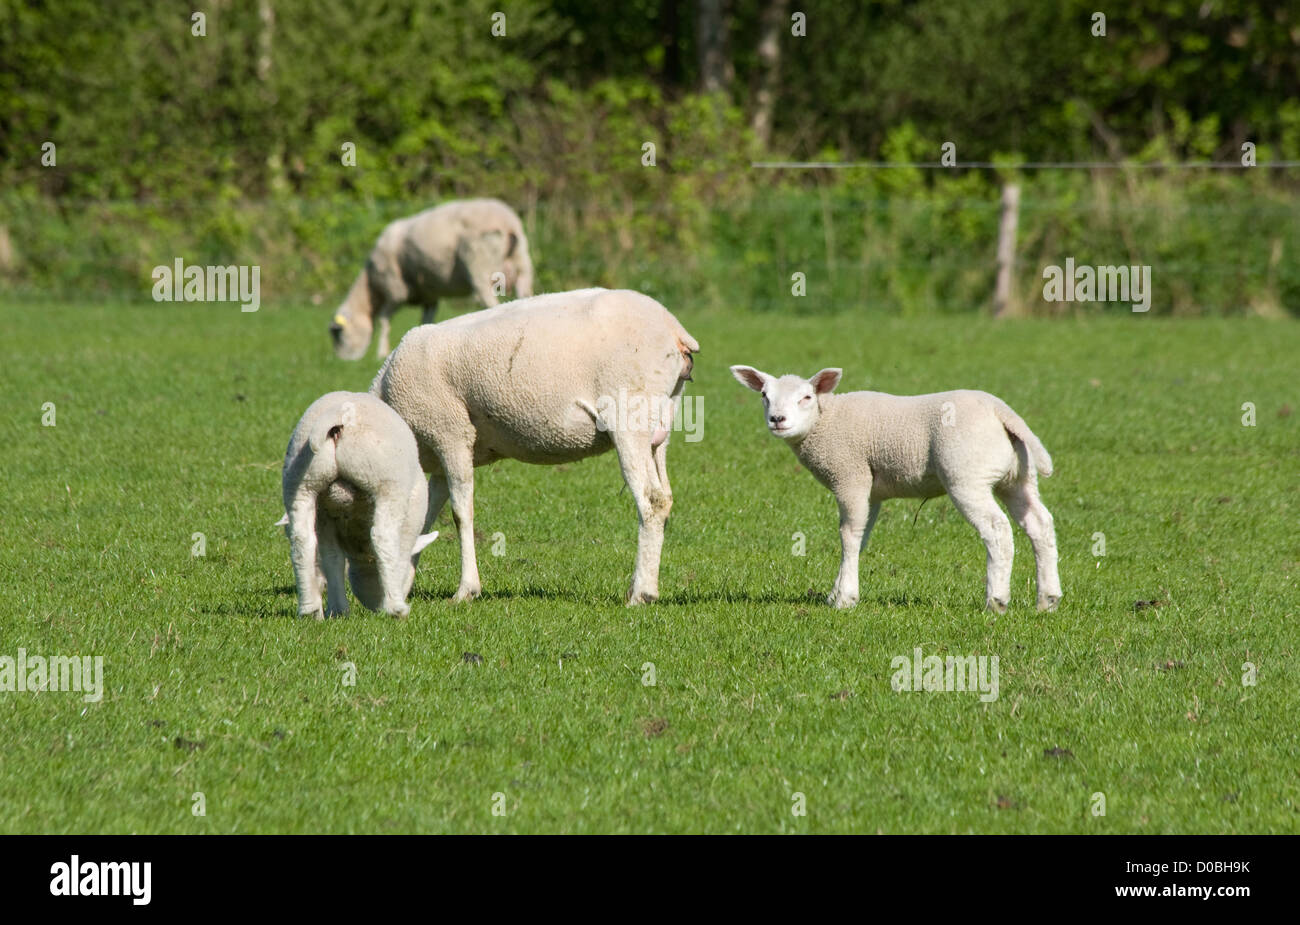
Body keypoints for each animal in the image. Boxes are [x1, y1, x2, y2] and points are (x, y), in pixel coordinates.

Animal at [280, 391, 439, 618]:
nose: (376, 608)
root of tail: (339, 417)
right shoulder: (410, 521)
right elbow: (396, 555)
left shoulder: (326, 516)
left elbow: (332, 557)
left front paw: (337, 610)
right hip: (386, 483)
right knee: (382, 536)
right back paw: (396, 609)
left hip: (301, 481)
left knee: (302, 538)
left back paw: (309, 609)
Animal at [330, 198, 535, 361]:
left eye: (337, 334)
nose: (342, 362)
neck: (371, 288)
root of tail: (506, 220)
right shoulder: (430, 296)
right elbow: (425, 319)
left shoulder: (395, 290)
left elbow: (384, 321)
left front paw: (381, 352)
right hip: (522, 263)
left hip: (480, 266)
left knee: (491, 303)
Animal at [371, 288, 699, 605]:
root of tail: (675, 330)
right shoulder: (440, 460)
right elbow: (425, 519)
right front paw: (405, 582)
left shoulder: (450, 434)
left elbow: (461, 513)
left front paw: (466, 591)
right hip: (659, 427)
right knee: (665, 497)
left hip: (629, 414)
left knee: (652, 500)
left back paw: (642, 593)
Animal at [730, 366, 1061, 613]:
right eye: (764, 395)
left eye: (807, 397)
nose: (777, 419)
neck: (826, 419)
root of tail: (1001, 411)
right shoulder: (870, 489)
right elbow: (861, 536)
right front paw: (836, 592)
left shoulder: (850, 476)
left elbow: (848, 535)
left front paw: (845, 598)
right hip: (1019, 477)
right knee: (1040, 524)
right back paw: (1048, 599)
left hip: (966, 476)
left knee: (997, 530)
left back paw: (996, 600)